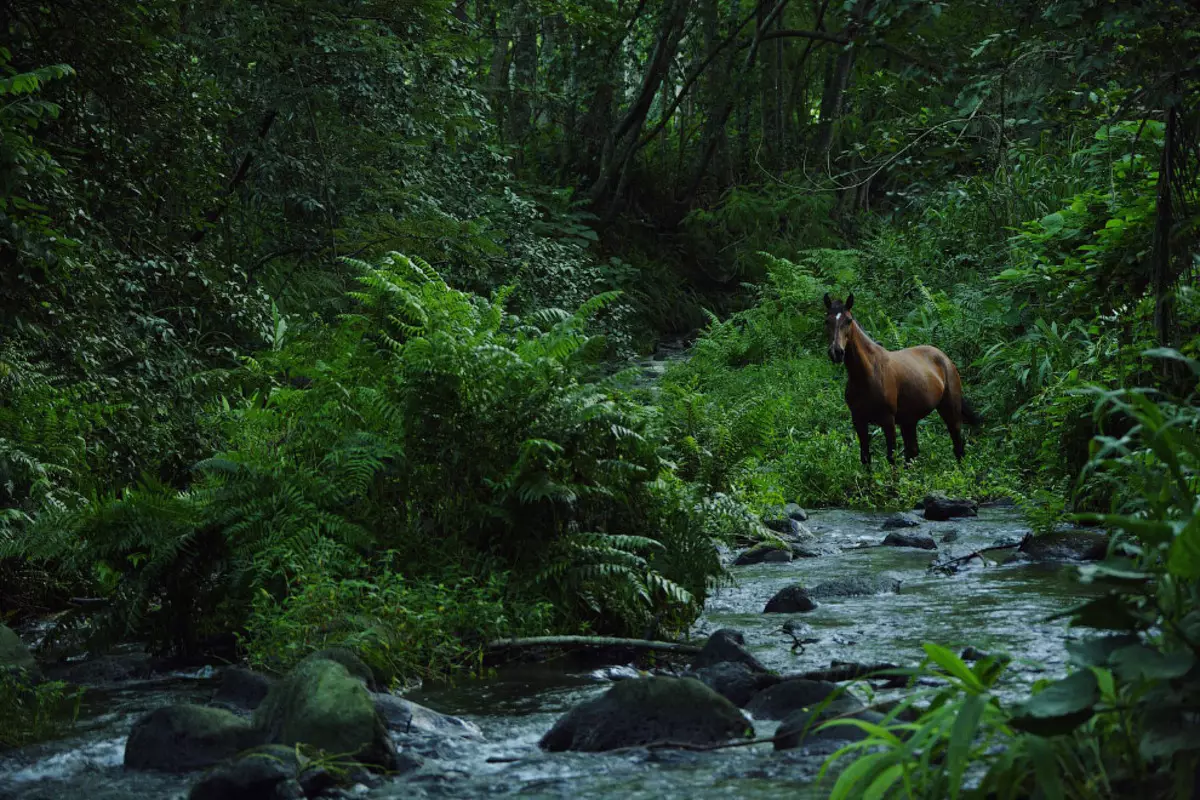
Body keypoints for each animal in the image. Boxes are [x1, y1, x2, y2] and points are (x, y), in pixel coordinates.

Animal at [825, 292, 984, 470]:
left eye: (848, 320)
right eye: (827, 320)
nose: (836, 352)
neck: (868, 374)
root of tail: (945, 358)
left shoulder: (888, 421)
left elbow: (891, 458)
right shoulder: (859, 421)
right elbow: (866, 458)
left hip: (950, 409)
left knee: (958, 446)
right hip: (909, 420)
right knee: (913, 451)